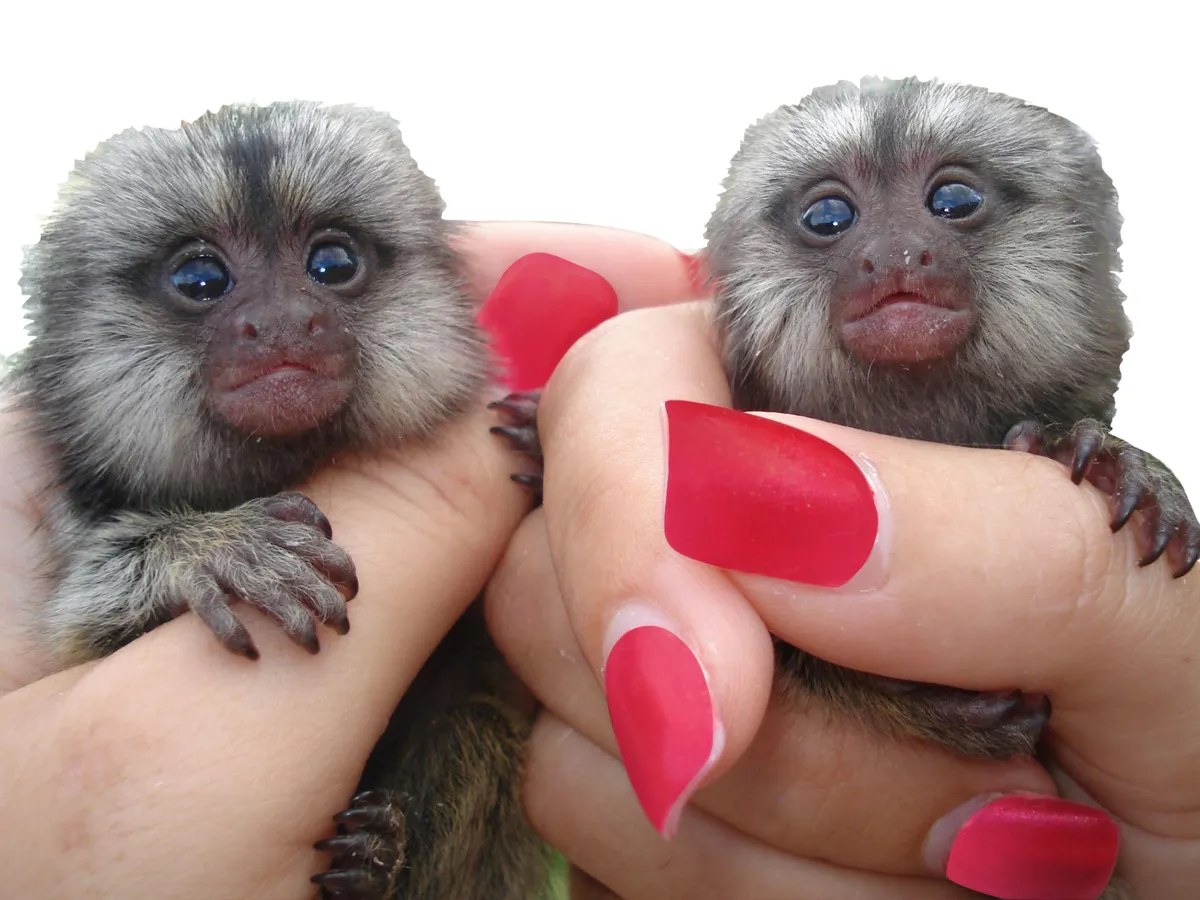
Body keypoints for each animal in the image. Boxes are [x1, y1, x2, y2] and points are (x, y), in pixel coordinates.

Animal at [9, 101, 551, 900]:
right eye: (201, 277)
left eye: (332, 265)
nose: (287, 321)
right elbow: (88, 622)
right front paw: (214, 550)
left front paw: (544, 445)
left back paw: (377, 860)